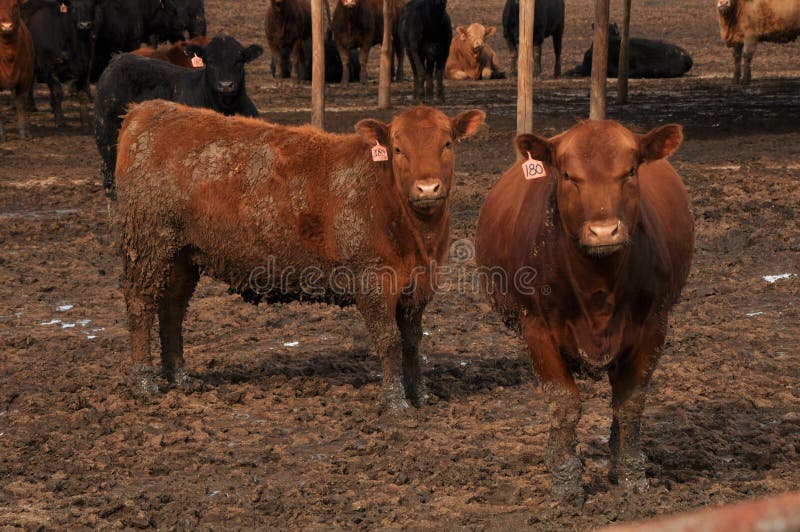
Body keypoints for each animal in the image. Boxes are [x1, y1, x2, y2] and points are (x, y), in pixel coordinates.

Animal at [113, 99, 485, 414]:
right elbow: (390, 340)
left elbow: (412, 340)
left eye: (447, 144)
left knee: (172, 309)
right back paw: (144, 382)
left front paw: (420, 393)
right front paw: (395, 402)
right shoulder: (373, 280)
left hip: (183, 255)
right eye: (397, 149)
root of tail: (147, 111)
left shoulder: (419, 285)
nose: (427, 188)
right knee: (141, 304)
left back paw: (179, 377)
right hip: (149, 243)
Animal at [475, 120, 693, 506]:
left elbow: (630, 402)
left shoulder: (653, 325)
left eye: (630, 171)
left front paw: (631, 475)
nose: (604, 230)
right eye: (567, 175)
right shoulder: (536, 329)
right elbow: (563, 404)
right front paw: (566, 480)